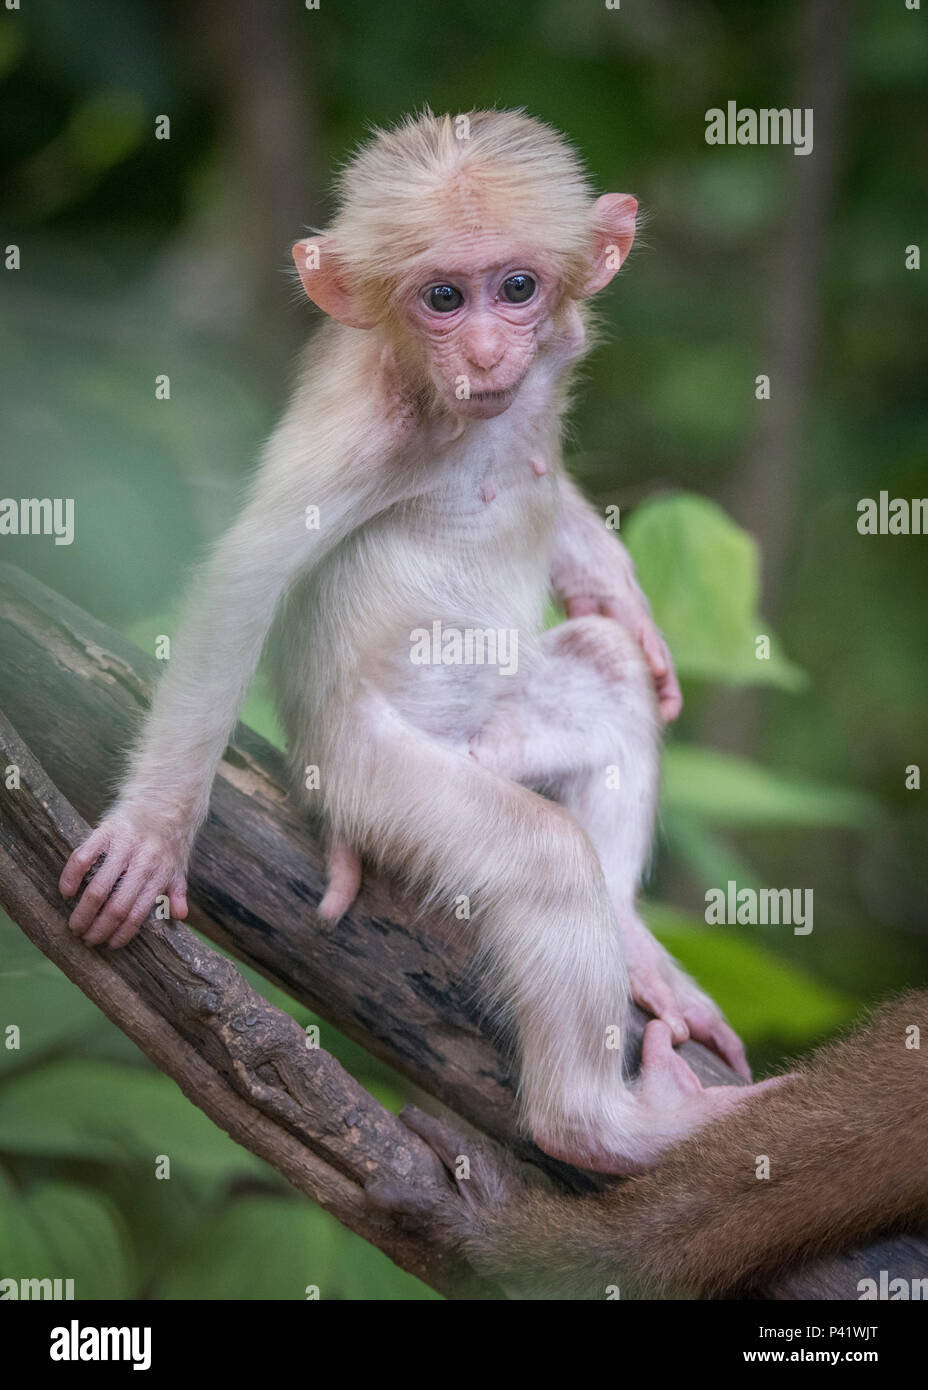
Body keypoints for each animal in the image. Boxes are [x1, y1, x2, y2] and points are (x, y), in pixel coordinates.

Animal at [59, 108, 779, 1174]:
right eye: (443, 297)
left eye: (516, 288)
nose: (482, 347)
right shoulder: (360, 431)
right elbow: (242, 585)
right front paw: (150, 836)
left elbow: (600, 602)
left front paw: (608, 577)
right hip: (378, 780)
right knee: (542, 856)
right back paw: (598, 1125)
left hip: (504, 735)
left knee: (605, 675)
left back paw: (633, 943)